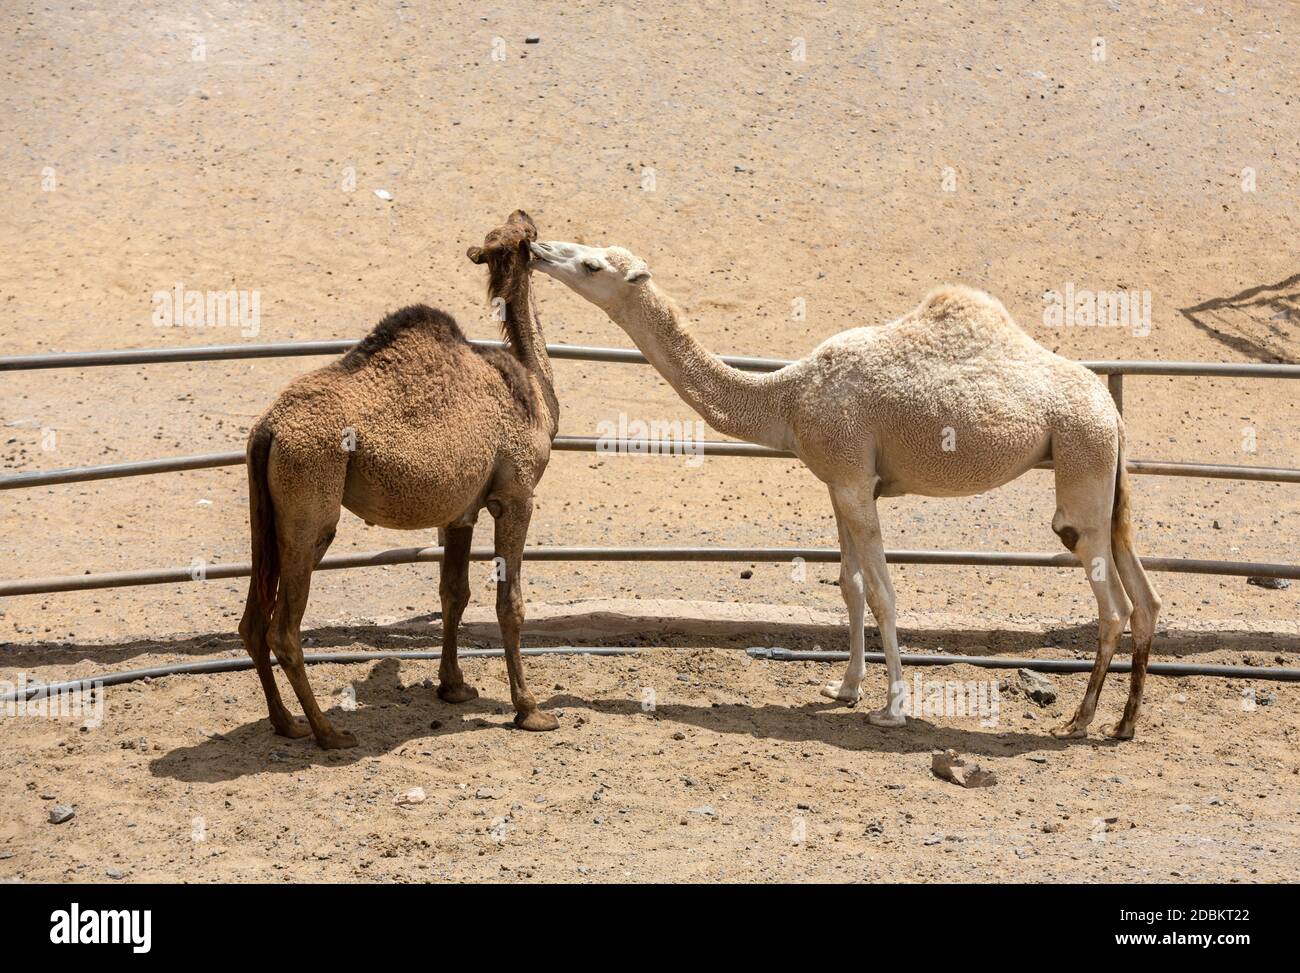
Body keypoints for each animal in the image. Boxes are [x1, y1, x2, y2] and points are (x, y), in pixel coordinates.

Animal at [237, 210, 560, 749]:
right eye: (528, 234)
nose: (525, 213)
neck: (530, 389)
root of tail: (269, 429)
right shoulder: (516, 495)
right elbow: (508, 603)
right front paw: (530, 710)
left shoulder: (460, 511)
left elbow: (454, 594)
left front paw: (454, 687)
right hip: (310, 502)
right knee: (284, 627)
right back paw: (330, 733)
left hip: (266, 515)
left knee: (252, 622)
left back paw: (287, 723)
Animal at [529, 239, 1162, 740]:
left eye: (590, 264)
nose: (536, 249)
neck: (787, 398)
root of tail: (1113, 412)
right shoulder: (842, 481)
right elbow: (850, 585)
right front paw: (845, 687)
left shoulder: (854, 477)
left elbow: (883, 592)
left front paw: (892, 709)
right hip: (1105, 477)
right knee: (1146, 597)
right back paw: (1124, 724)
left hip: (1081, 462)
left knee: (1111, 601)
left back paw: (1078, 722)